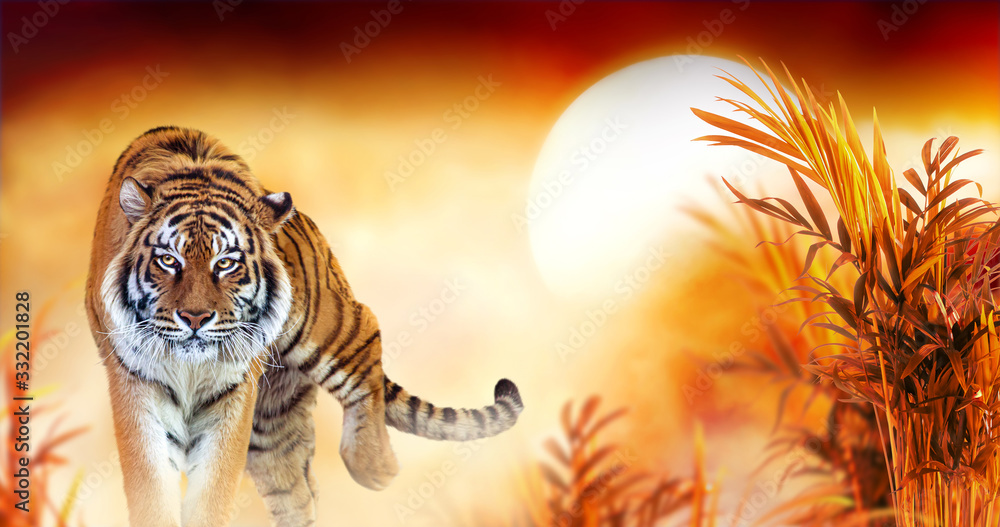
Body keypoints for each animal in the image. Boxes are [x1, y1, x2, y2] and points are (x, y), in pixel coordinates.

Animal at [84, 126, 524, 527]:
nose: (195, 318)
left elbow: (213, 490)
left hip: (321, 327)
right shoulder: (136, 387)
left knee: (368, 329)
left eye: (225, 263)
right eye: (168, 260)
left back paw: (376, 466)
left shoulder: (233, 396)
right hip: (271, 420)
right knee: (295, 489)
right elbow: (150, 488)